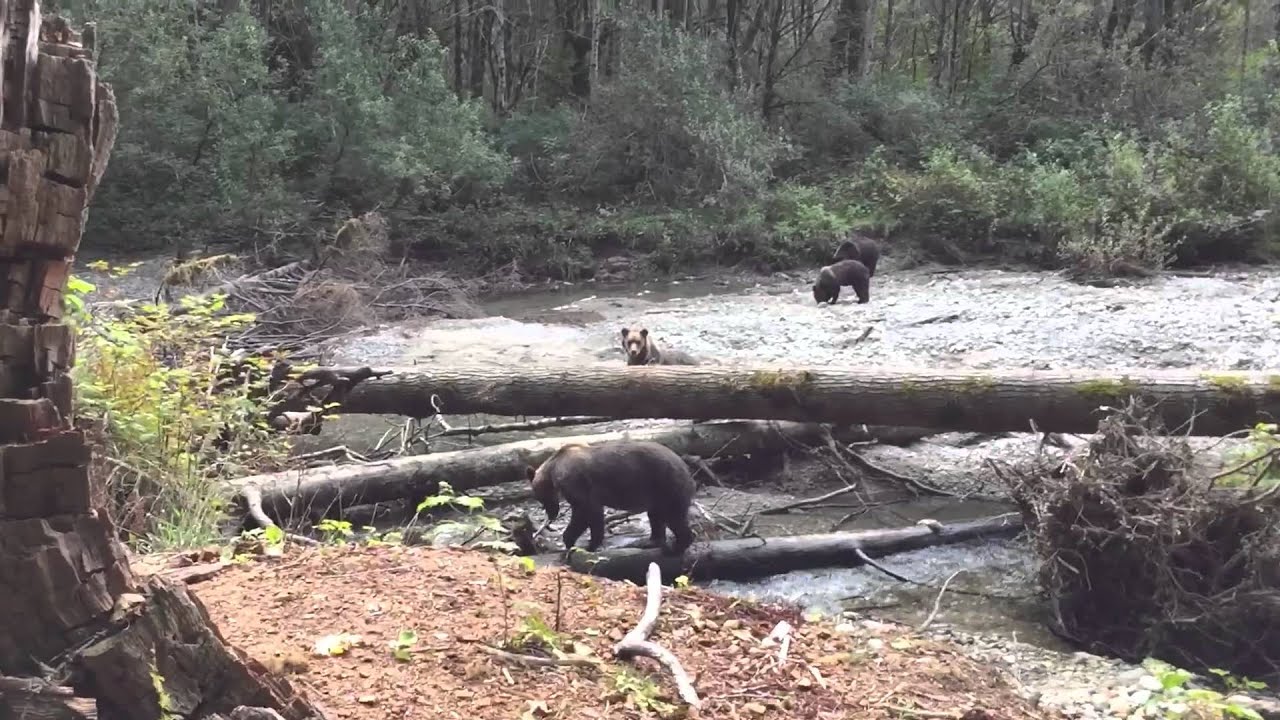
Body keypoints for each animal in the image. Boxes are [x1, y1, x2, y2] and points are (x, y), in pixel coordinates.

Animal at [527, 440, 697, 556]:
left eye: (541, 498)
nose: (551, 514)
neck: (553, 467)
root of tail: (686, 467)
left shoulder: (576, 481)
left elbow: (585, 510)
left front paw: (578, 543)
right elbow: (593, 514)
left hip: (666, 484)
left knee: (673, 515)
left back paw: (676, 547)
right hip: (656, 492)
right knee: (656, 516)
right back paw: (650, 541)